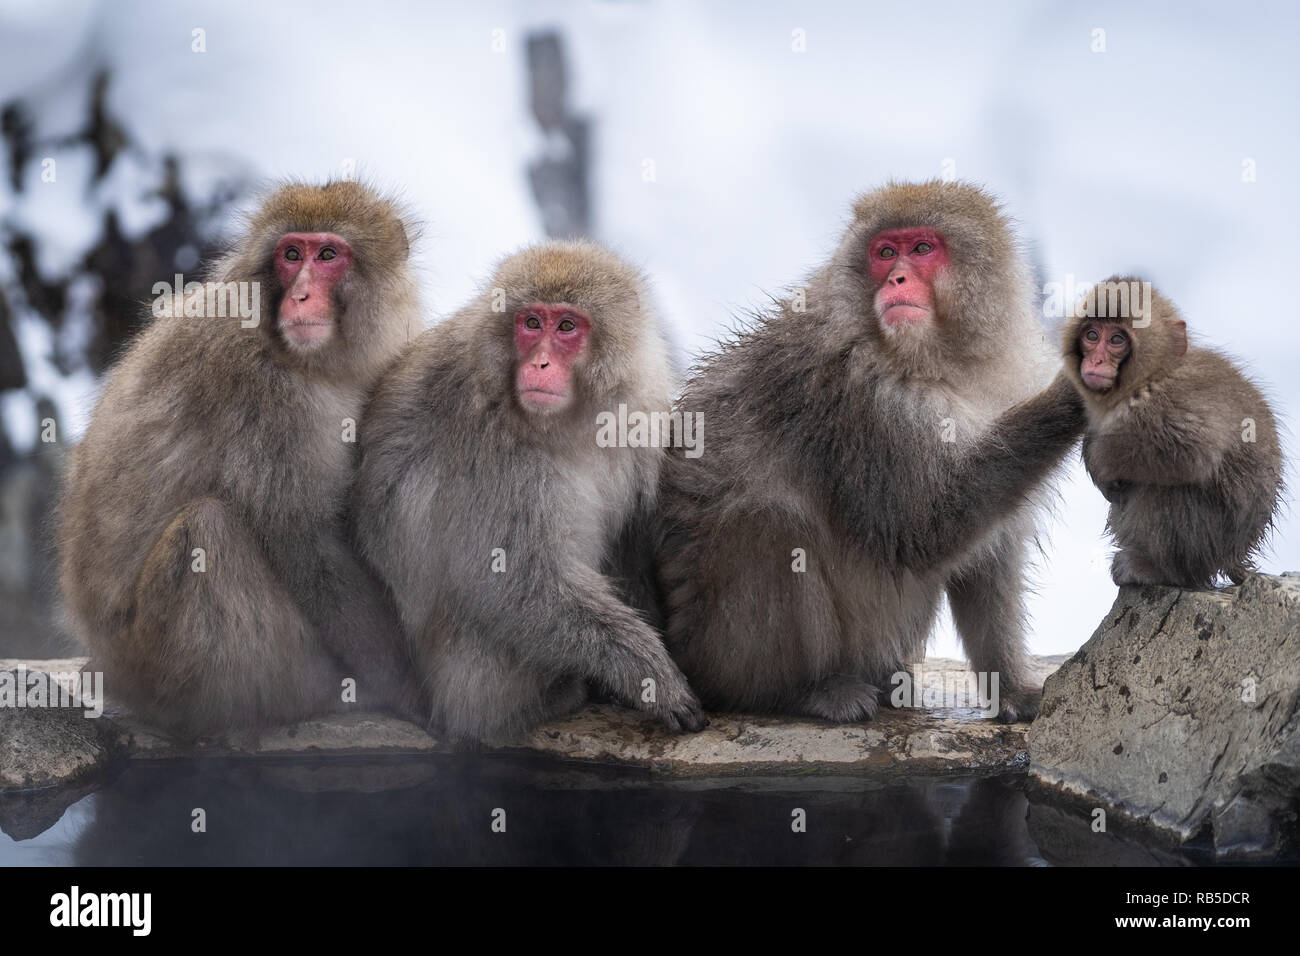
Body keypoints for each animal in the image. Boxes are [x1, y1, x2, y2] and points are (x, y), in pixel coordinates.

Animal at [57, 180, 424, 737]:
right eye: (290, 255)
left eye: (328, 254)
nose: (300, 294)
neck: (308, 361)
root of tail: (109, 668)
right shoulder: (259, 387)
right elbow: (305, 538)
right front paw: (405, 688)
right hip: (154, 661)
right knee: (209, 530)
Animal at [352, 240, 707, 746]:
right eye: (531, 323)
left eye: (567, 326)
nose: (539, 363)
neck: (571, 422)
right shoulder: (497, 452)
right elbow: (510, 580)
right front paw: (647, 674)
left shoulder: (639, 408)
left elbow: (627, 539)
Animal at [656, 180, 1085, 725]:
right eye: (884, 253)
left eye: (921, 248)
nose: (897, 277)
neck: (941, 363)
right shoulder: (857, 395)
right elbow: (922, 528)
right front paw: (1075, 393)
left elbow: (989, 558)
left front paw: (1012, 690)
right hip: (713, 648)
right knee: (766, 527)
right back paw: (804, 692)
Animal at [1061, 276, 1283, 588]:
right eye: (1092, 335)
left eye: (1116, 340)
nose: (1096, 361)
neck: (1153, 376)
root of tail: (1233, 555)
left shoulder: (1172, 401)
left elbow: (1193, 451)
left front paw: (1101, 462)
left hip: (1204, 540)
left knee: (1164, 488)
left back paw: (1160, 570)